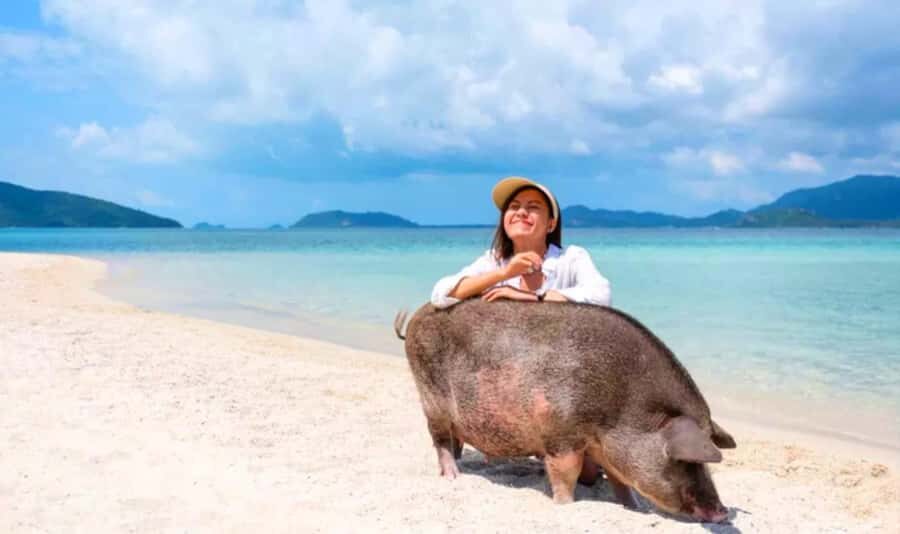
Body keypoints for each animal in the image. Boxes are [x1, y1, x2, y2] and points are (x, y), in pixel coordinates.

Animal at [394, 299, 736, 523]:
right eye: (685, 461)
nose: (721, 512)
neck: (624, 409)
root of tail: (417, 316)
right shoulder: (560, 432)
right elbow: (566, 472)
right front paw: (565, 505)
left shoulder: (605, 448)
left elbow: (620, 480)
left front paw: (634, 508)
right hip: (430, 396)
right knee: (439, 439)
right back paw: (453, 476)